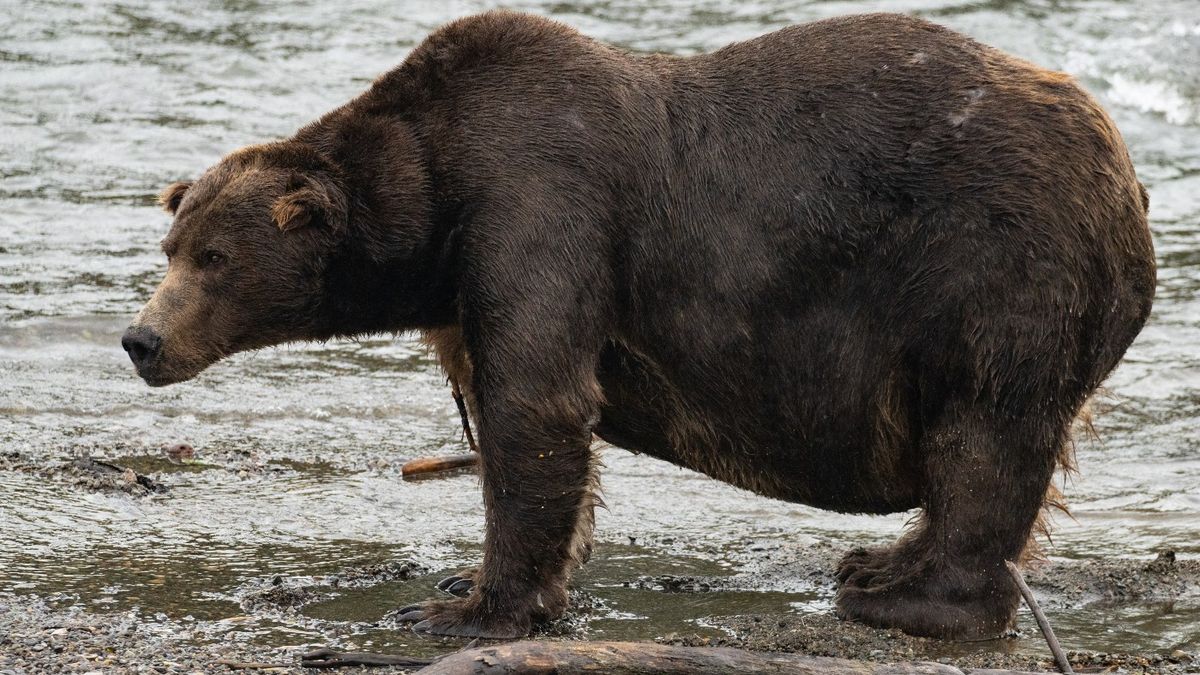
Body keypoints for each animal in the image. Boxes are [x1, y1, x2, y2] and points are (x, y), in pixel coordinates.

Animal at [122, 10, 1155, 640]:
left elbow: (536, 404)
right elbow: (510, 418)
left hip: (993, 262)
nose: (141, 340)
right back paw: (878, 558)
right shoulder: (466, 281)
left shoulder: (543, 203)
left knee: (985, 431)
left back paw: (902, 596)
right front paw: (484, 580)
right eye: (171, 242)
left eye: (213, 258)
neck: (433, 204)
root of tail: (1128, 176)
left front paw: (465, 606)